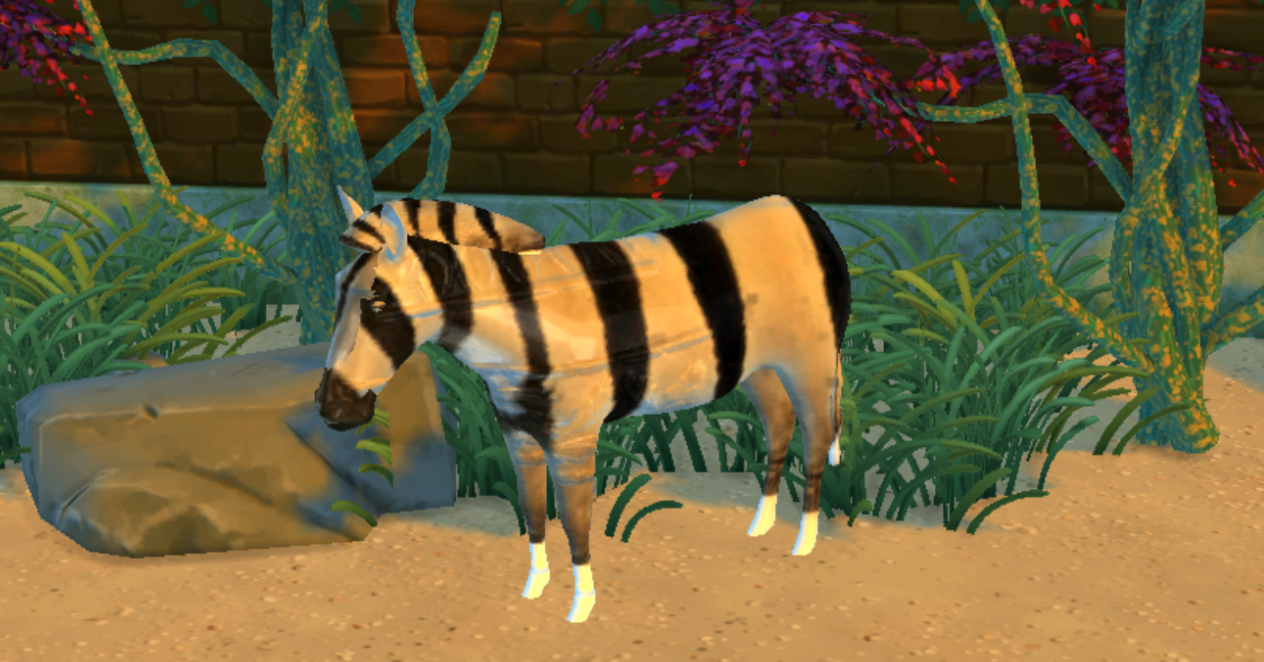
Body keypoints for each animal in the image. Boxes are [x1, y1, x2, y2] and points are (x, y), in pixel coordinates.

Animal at [315, 187, 852, 623]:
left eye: (378, 303)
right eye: (338, 288)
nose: (329, 408)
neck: (523, 331)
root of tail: (802, 210)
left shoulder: (573, 441)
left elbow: (575, 524)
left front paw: (582, 606)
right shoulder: (518, 438)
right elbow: (533, 512)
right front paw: (534, 588)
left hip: (809, 360)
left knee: (817, 434)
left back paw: (804, 539)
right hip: (757, 366)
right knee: (780, 423)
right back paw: (761, 523)